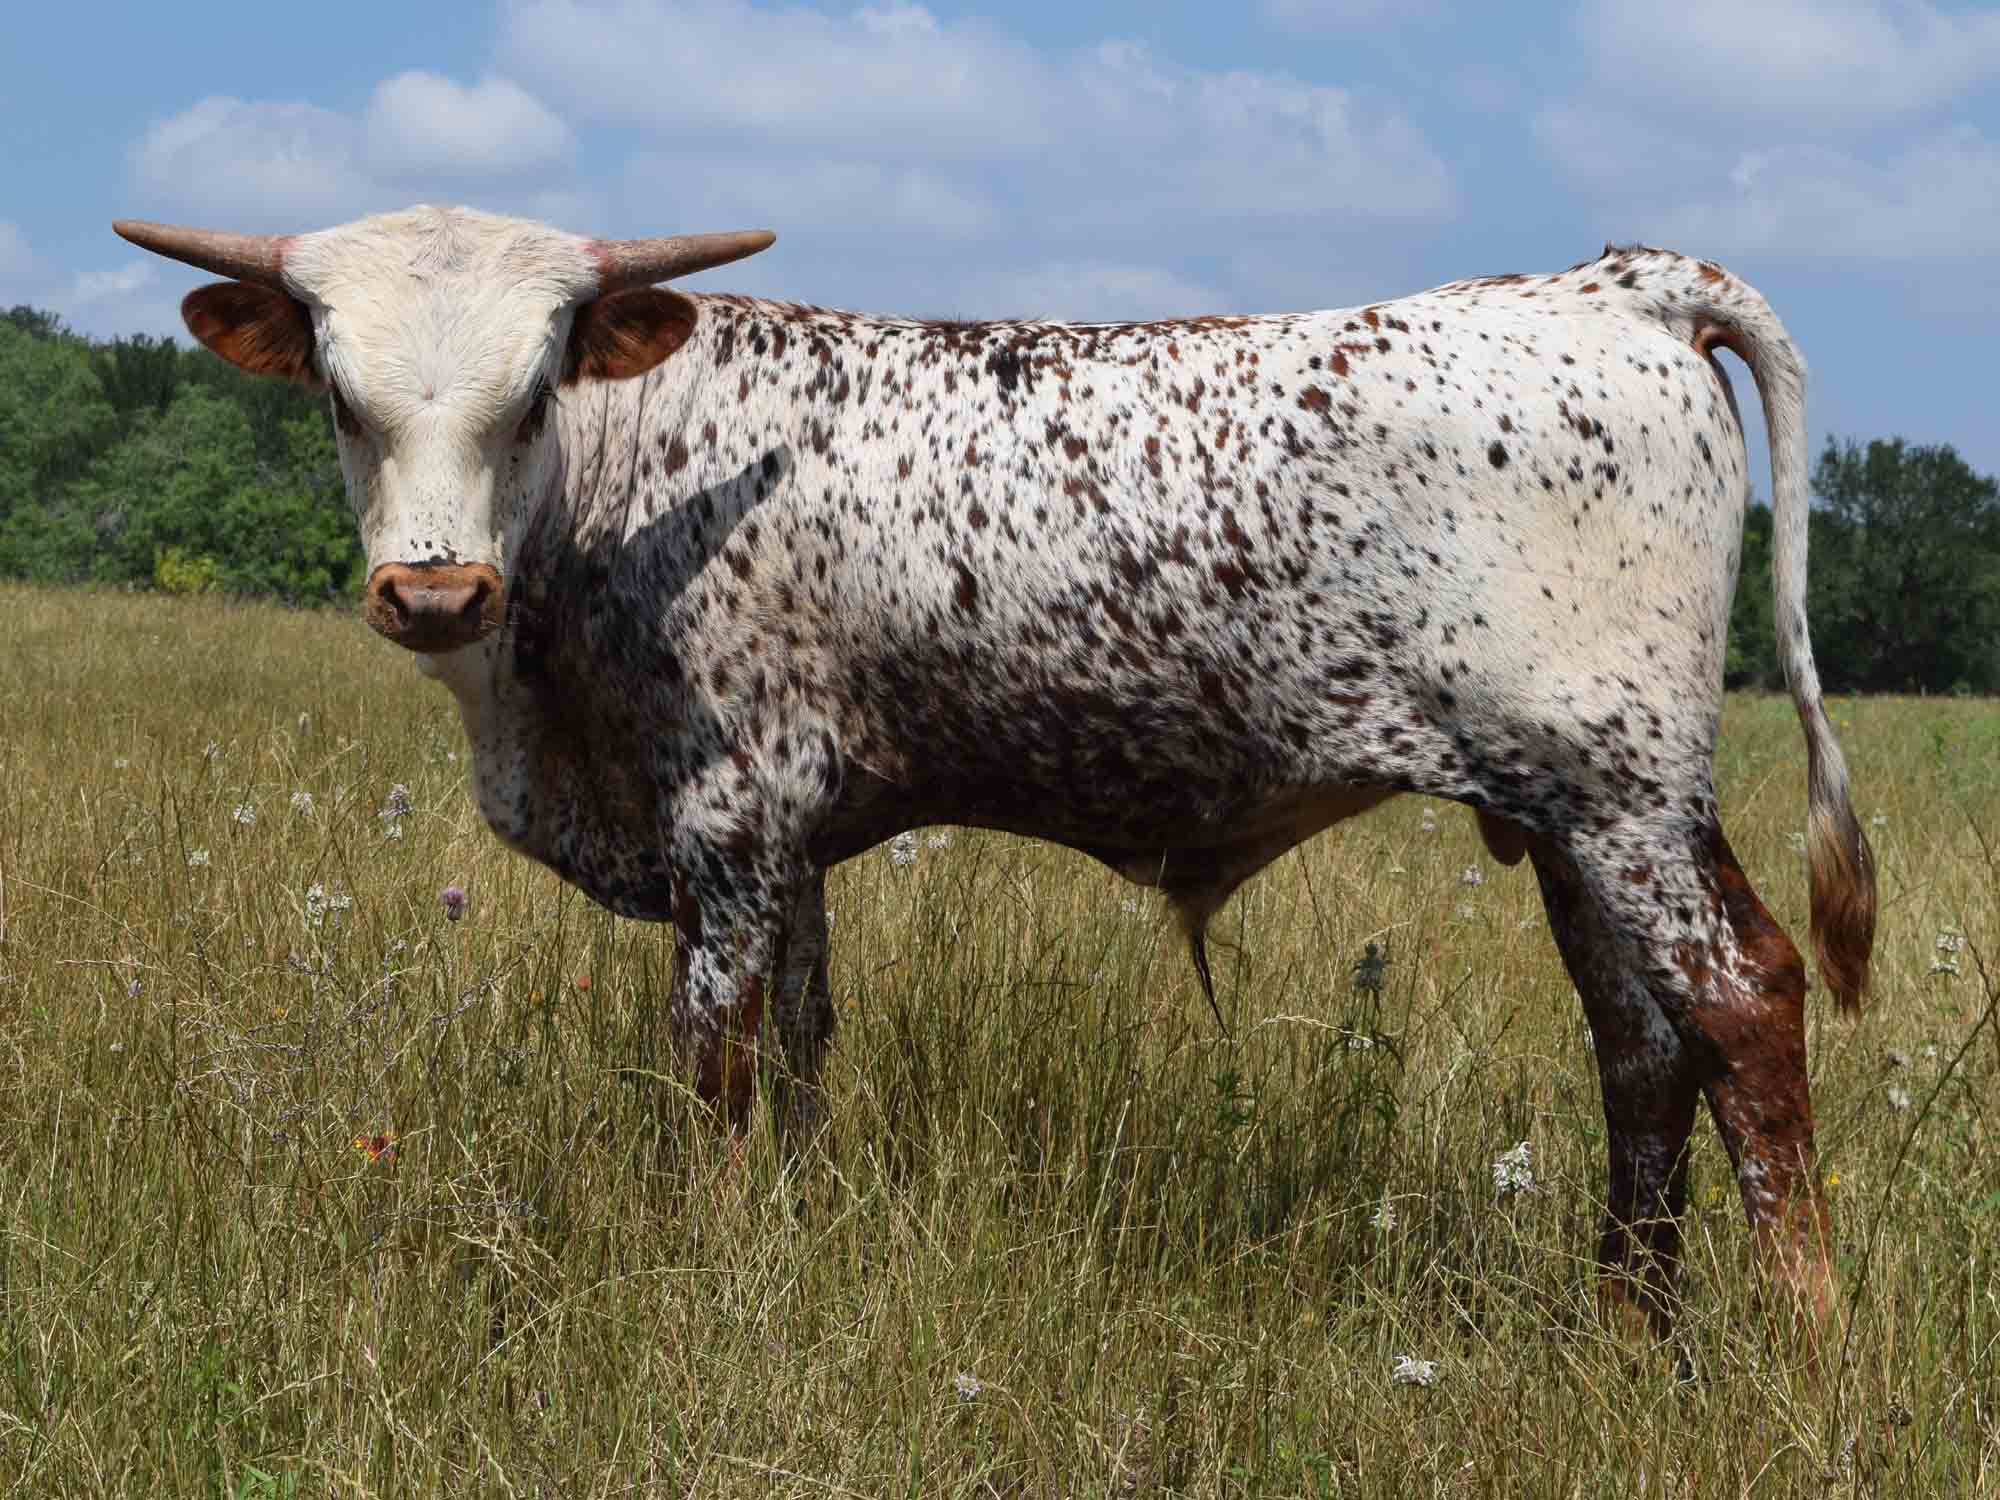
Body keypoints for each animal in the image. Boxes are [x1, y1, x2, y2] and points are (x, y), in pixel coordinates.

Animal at [116, 206, 1874, 1339]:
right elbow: (805, 1047)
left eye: (534, 386)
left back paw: (1799, 1345)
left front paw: (705, 1277)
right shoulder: (793, 844)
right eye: (343, 399)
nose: (434, 594)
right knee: (1640, 1046)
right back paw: (1626, 1329)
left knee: (1744, 1002)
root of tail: (1610, 287)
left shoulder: (727, 821)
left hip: (1620, 790)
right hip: (1571, 814)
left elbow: (713, 1067)